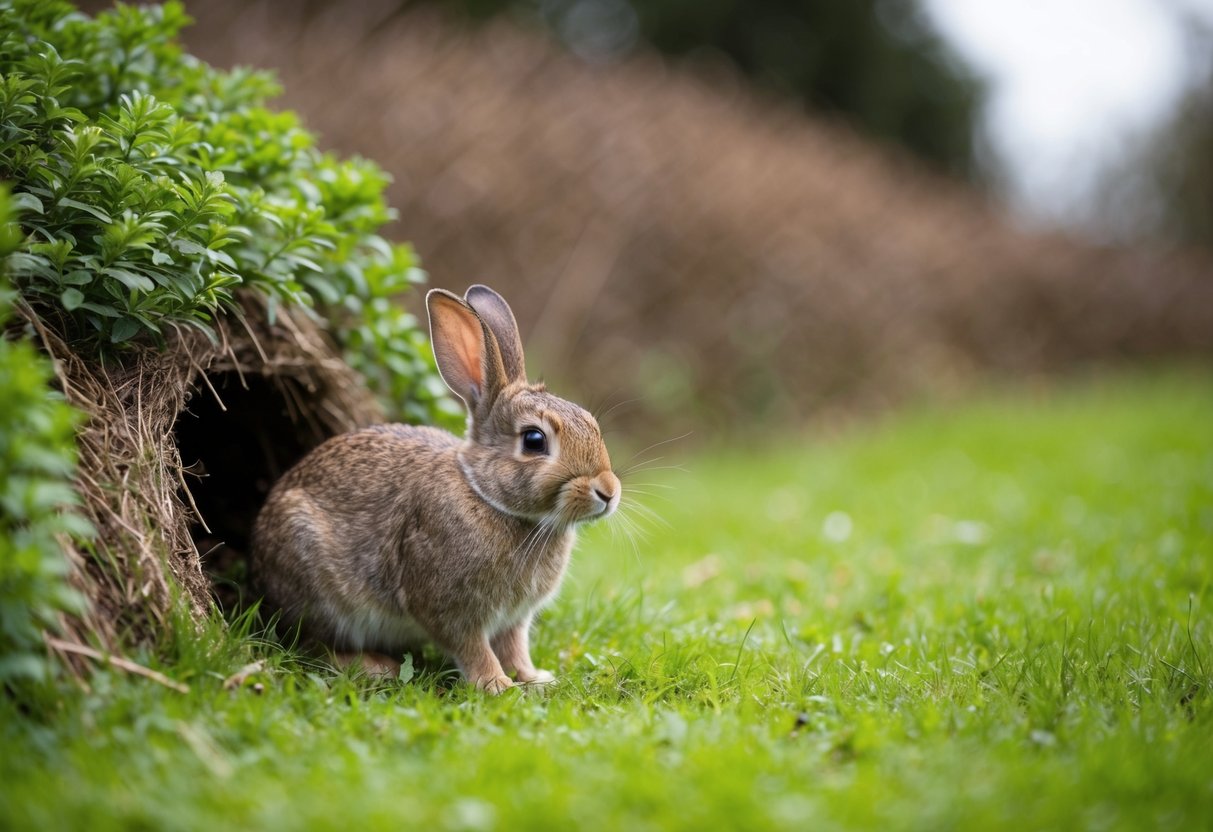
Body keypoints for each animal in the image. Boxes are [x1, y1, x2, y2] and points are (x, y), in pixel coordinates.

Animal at [250, 284, 620, 693]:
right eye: (534, 440)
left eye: (590, 423)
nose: (608, 491)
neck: (488, 497)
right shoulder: (448, 607)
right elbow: (472, 647)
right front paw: (497, 685)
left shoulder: (514, 619)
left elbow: (514, 646)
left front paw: (535, 678)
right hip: (316, 580)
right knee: (312, 644)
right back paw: (374, 666)